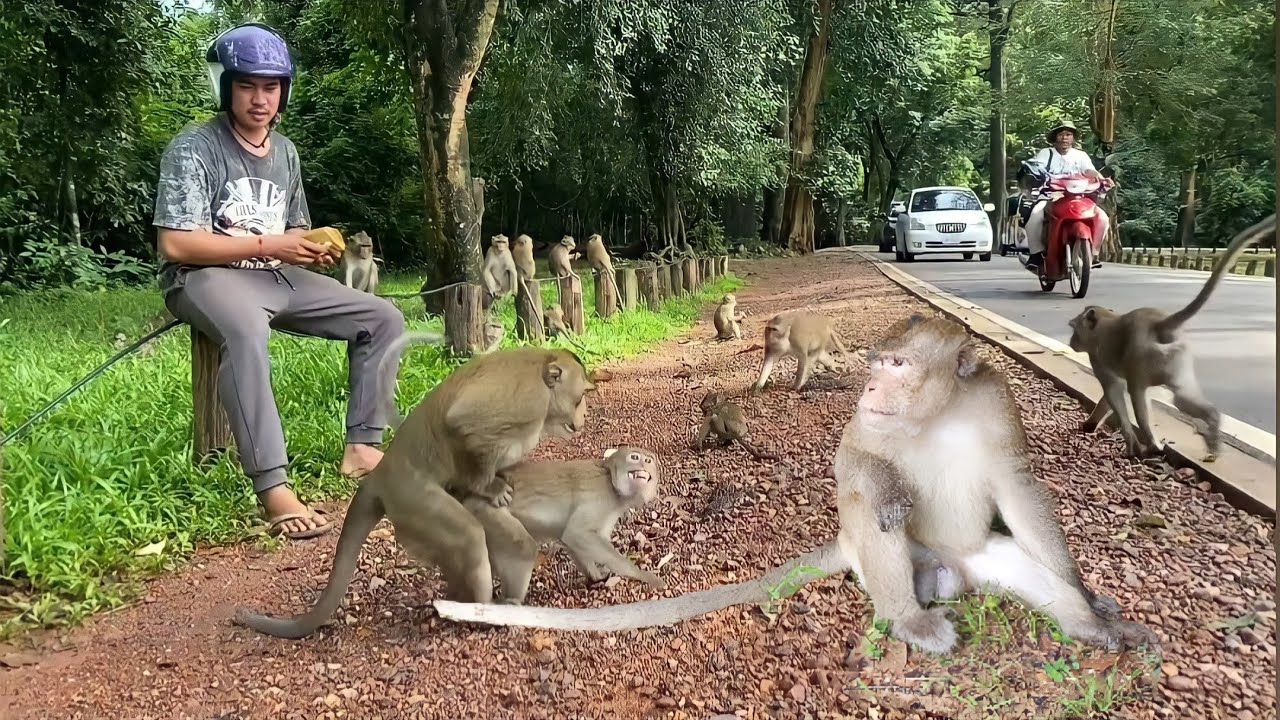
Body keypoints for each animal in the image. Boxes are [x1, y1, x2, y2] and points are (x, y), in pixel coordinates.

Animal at [230, 344, 596, 639]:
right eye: (579, 399)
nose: (581, 420)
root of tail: (379, 475)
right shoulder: (527, 400)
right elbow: (463, 425)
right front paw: (490, 487)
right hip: (413, 498)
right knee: (467, 535)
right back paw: (479, 611)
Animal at [462, 446, 666, 605]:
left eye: (649, 460)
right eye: (635, 457)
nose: (645, 463)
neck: (611, 482)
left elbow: (572, 540)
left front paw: (596, 577)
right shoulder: (601, 496)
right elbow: (576, 534)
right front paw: (642, 576)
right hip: (485, 511)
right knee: (522, 546)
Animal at [1067, 213, 1276, 460]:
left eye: (1075, 330)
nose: (1071, 341)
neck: (1105, 324)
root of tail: (1158, 324)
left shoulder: (1097, 357)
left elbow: (1114, 392)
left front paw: (1127, 441)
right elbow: (1113, 395)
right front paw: (1092, 424)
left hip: (1143, 359)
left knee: (1138, 394)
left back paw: (1151, 444)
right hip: (1176, 358)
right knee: (1181, 397)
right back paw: (1213, 429)